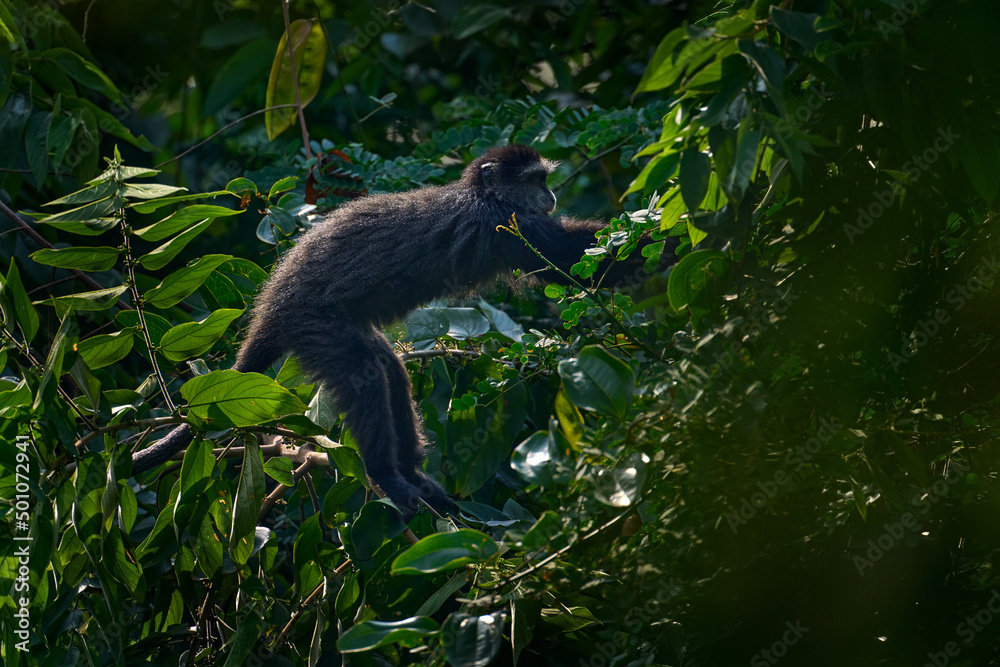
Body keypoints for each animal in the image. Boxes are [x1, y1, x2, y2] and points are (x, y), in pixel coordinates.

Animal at [131, 144, 674, 520]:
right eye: (537, 181)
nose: (552, 195)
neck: (480, 194)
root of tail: (274, 301)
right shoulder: (506, 222)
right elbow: (571, 260)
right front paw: (680, 231)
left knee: (387, 368)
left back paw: (412, 474)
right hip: (314, 323)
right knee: (365, 372)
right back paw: (387, 477)